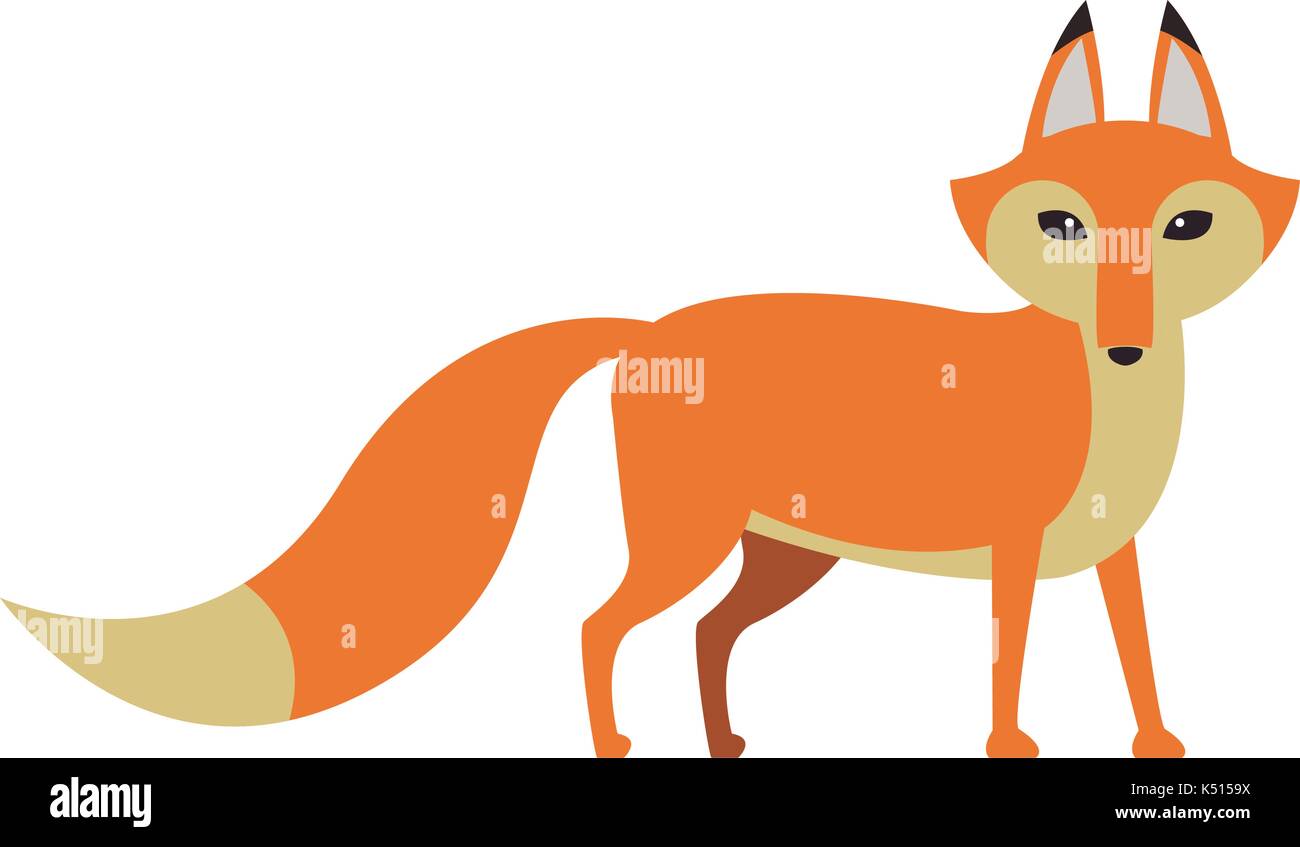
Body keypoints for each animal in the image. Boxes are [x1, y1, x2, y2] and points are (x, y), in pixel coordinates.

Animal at [3, 2, 1295, 758]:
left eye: (1186, 225)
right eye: (1059, 227)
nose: (1124, 344)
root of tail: (648, 327)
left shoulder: (1115, 553)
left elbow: (1139, 648)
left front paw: (1161, 745)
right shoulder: (1015, 547)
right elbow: (1010, 653)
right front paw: (1011, 745)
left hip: (781, 556)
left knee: (706, 633)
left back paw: (726, 745)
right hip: (694, 541)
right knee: (599, 622)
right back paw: (617, 745)